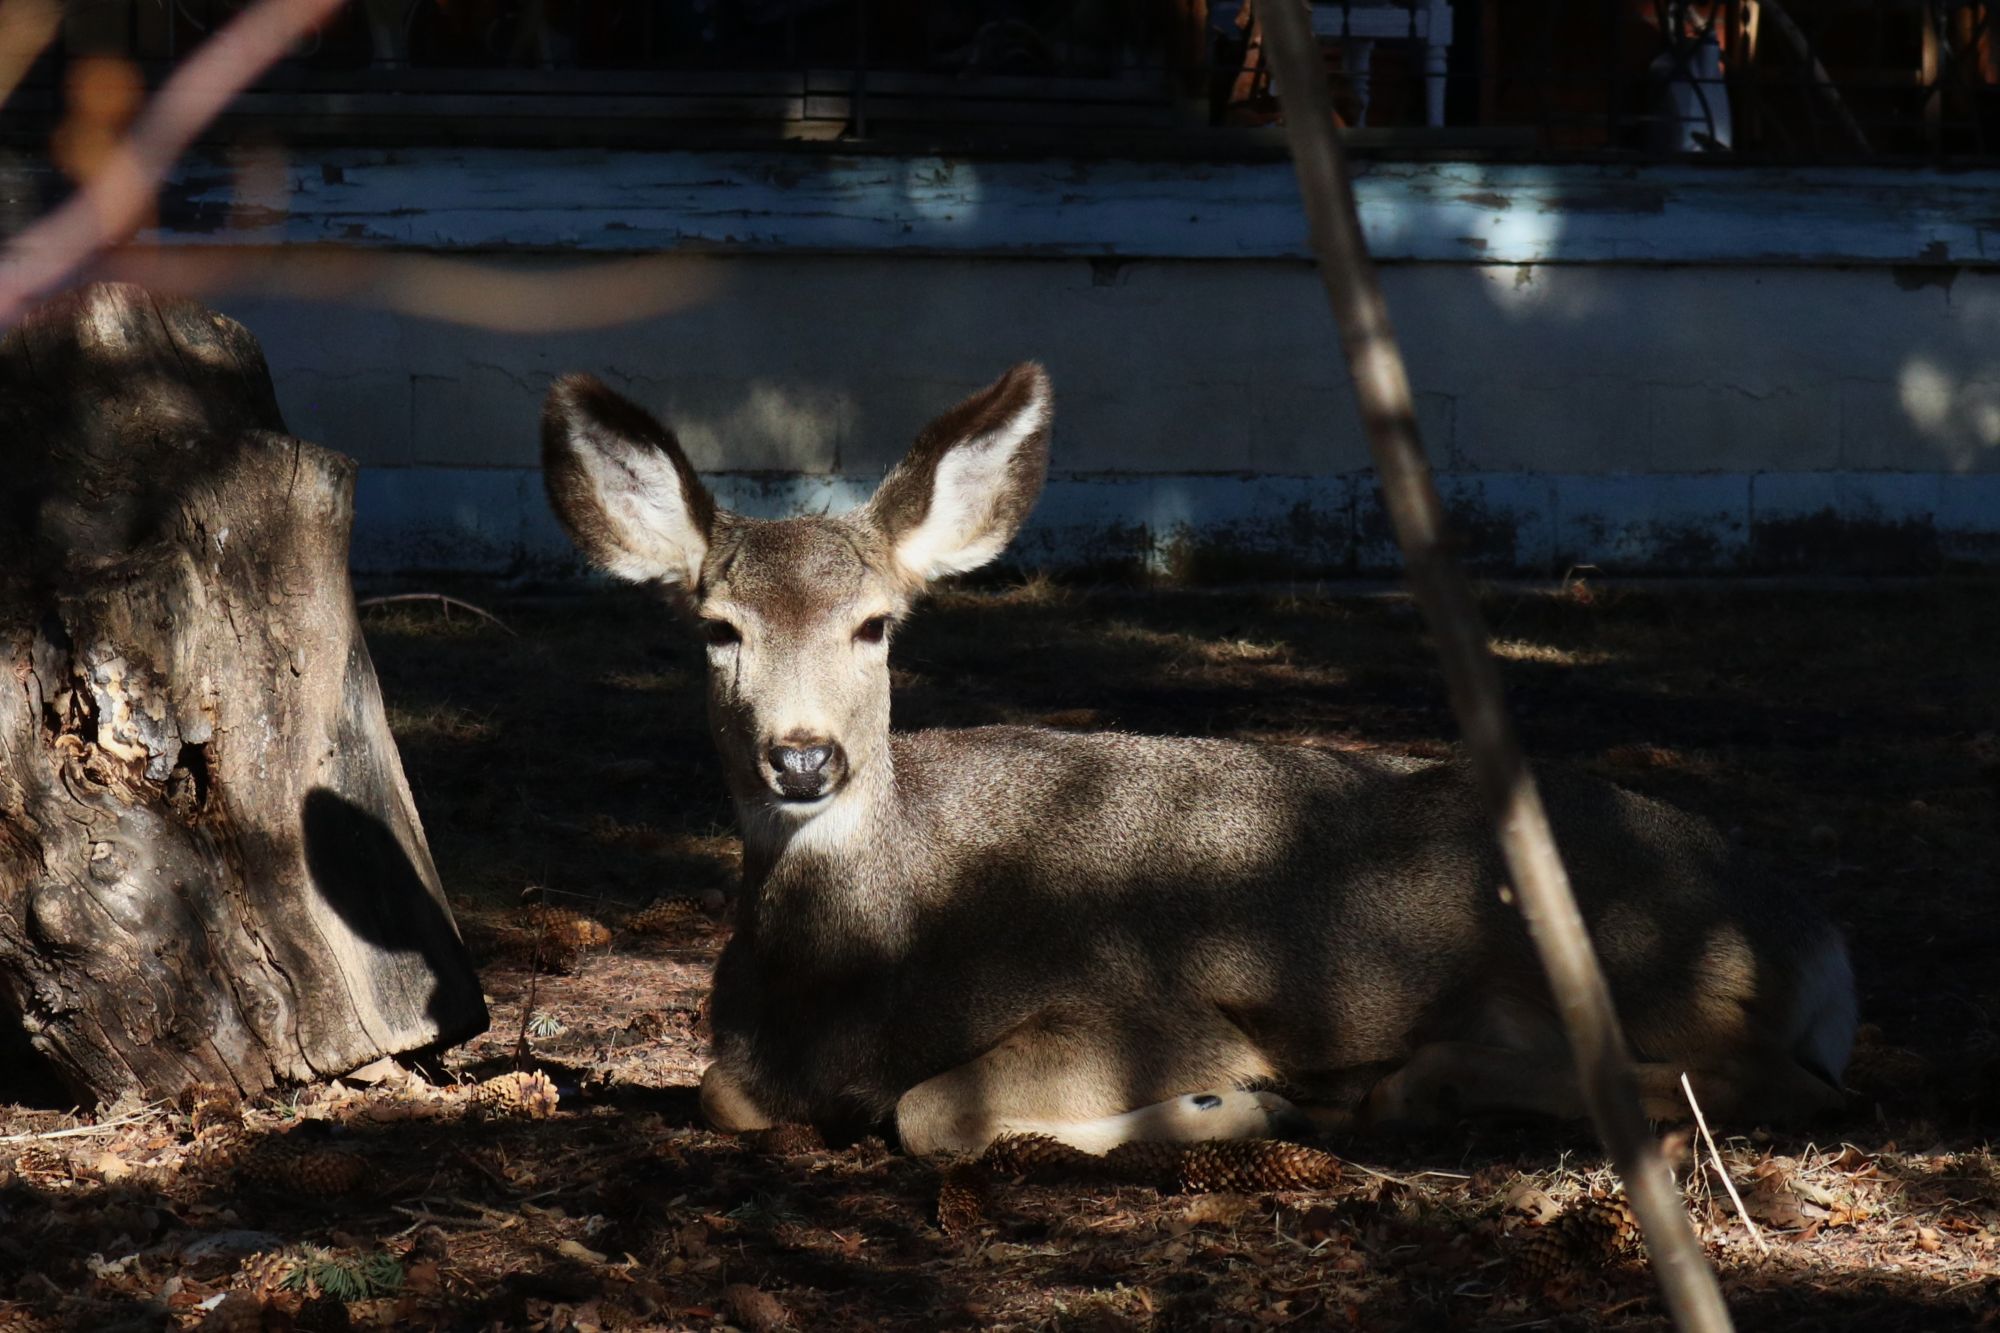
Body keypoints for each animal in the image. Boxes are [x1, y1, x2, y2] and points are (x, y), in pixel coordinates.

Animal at [540, 362, 1857, 1157]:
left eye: (875, 625)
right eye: (718, 629)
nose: (804, 759)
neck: (848, 974)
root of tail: (1811, 937)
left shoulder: (1145, 1002)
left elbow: (930, 1110)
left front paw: (1230, 1100)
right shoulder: (738, 1065)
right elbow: (721, 1090)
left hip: (1611, 958)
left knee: (1780, 1085)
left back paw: (1393, 1086)